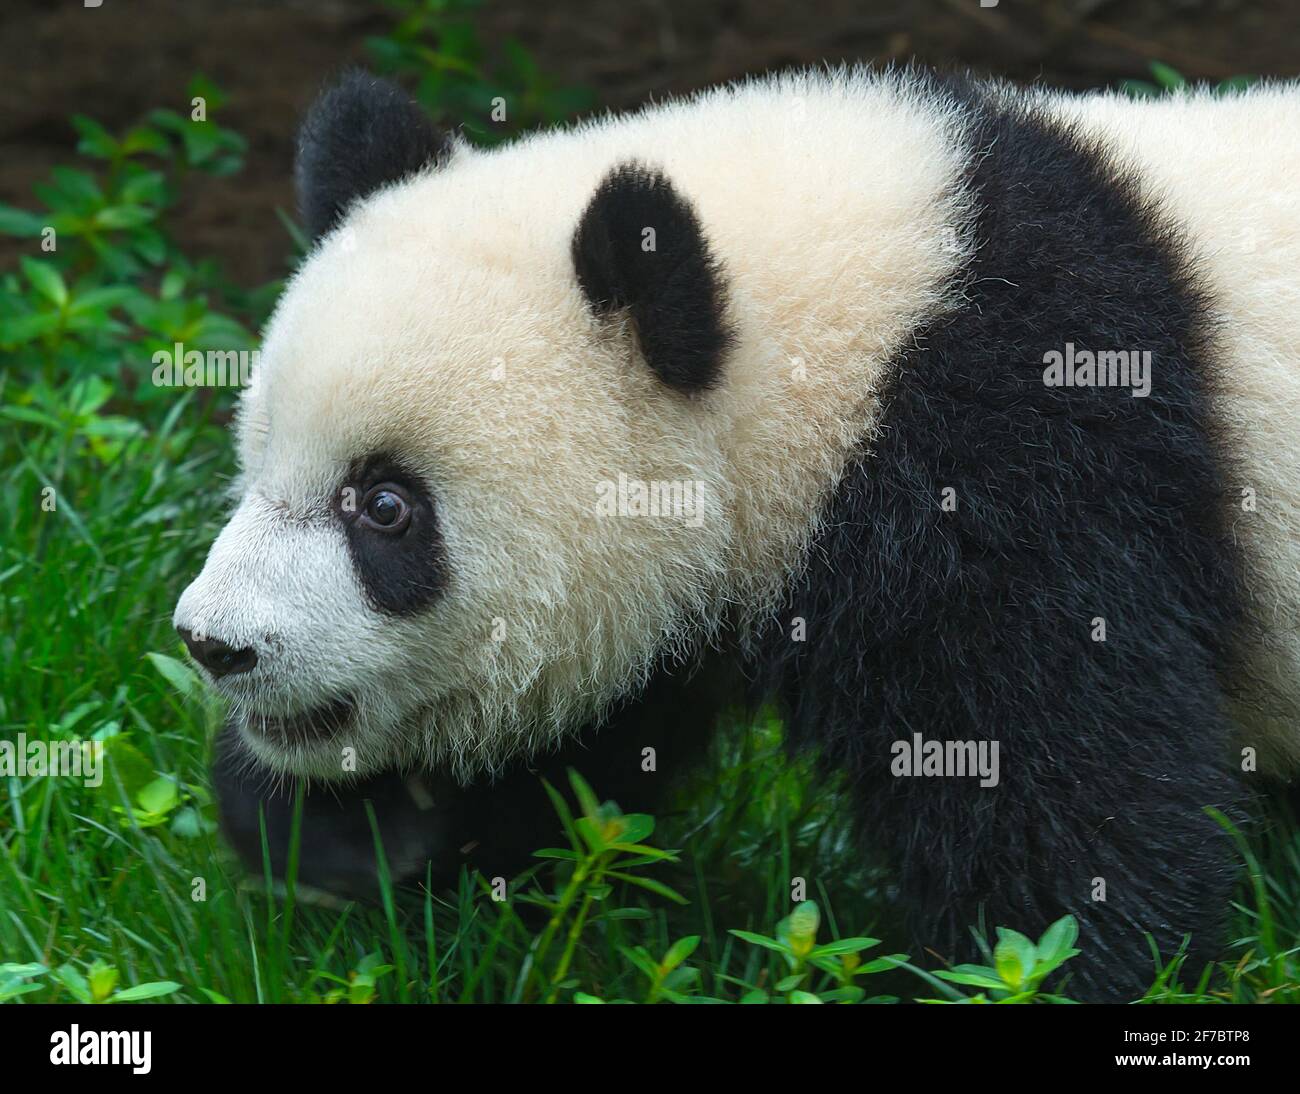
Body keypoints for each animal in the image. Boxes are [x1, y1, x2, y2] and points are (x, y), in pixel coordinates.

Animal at [173, 67, 1300, 1001]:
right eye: (255, 461)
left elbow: (1064, 789)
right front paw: (338, 834)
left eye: (385, 506)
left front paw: (1048, 965)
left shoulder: (1022, 459)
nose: (216, 645)